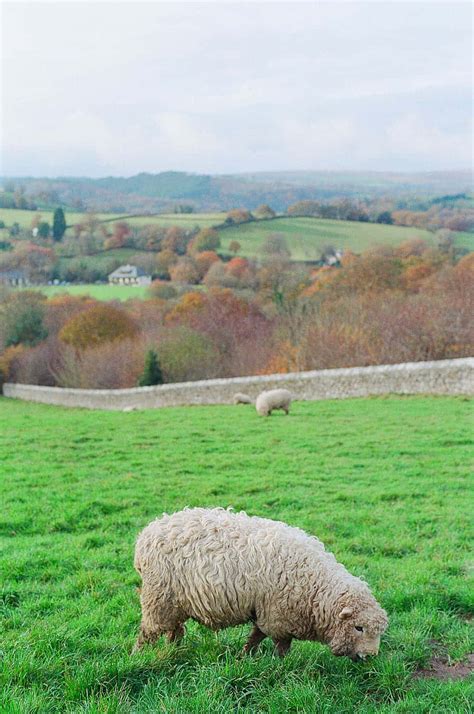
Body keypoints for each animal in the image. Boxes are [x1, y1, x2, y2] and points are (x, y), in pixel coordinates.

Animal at [133, 507, 388, 659]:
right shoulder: (278, 615)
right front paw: (281, 663)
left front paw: (245, 656)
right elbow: (279, 642)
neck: (317, 587)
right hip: (158, 597)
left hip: (176, 601)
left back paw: (174, 649)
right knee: (149, 631)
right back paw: (137, 654)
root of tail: (147, 533)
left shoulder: (267, 611)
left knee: (174, 628)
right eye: (358, 628)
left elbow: (256, 635)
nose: (370, 656)